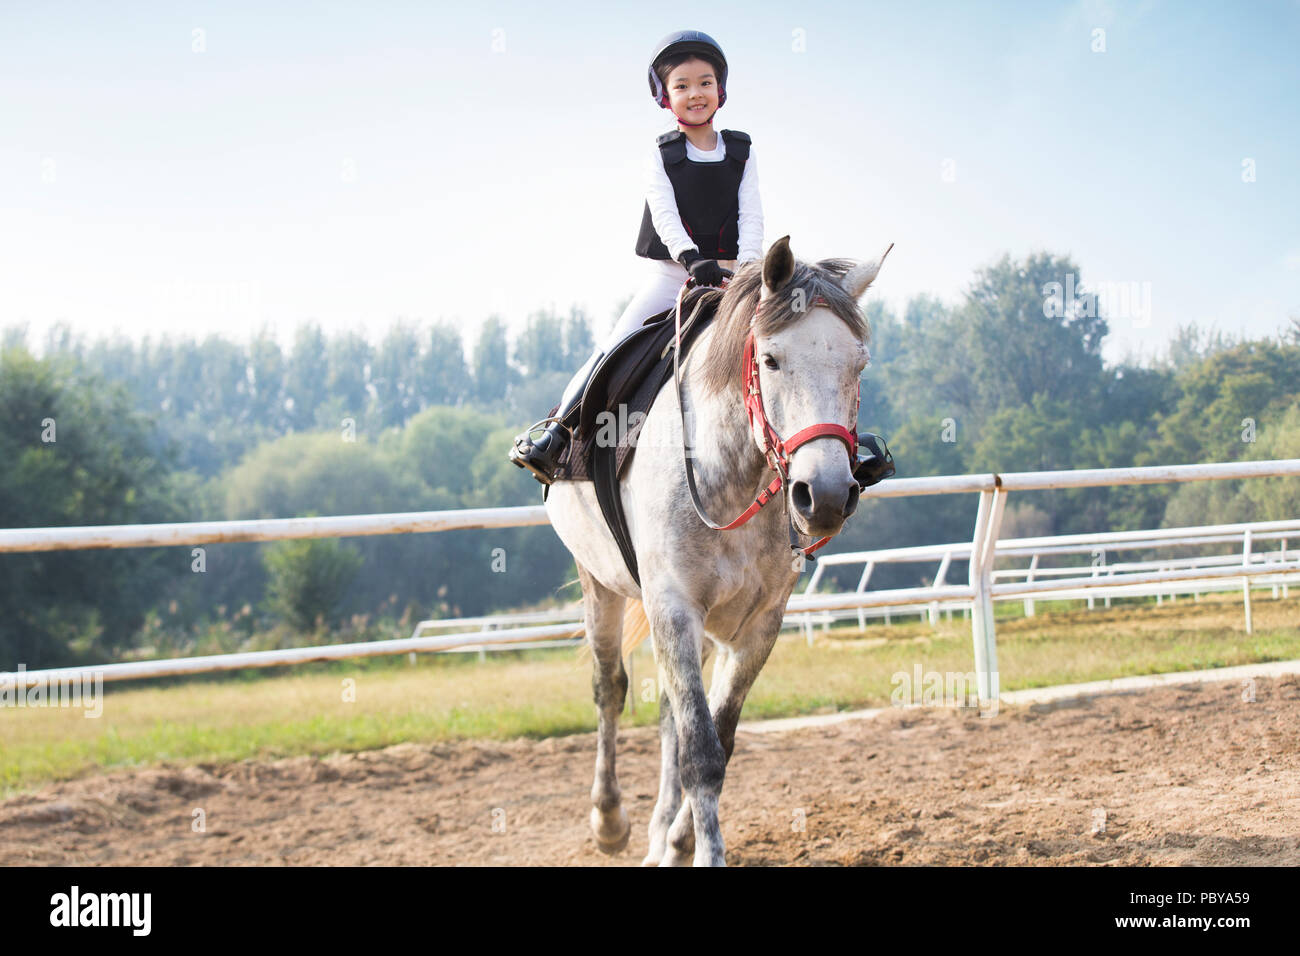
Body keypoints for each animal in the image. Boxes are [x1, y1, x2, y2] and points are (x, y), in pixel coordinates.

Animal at [544, 236, 891, 866]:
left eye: (859, 364)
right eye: (771, 360)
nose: (826, 495)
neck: (732, 476)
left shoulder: (759, 622)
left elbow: (717, 740)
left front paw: (680, 842)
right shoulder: (673, 607)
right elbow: (699, 752)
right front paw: (696, 848)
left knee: (666, 715)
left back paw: (659, 834)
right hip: (600, 584)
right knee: (610, 689)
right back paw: (609, 821)